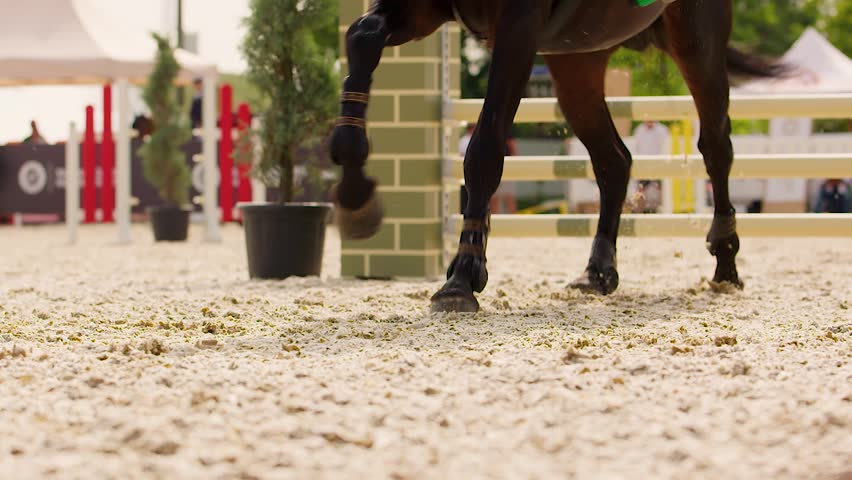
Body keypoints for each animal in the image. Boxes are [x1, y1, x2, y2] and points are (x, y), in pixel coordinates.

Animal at [329, 0, 787, 313]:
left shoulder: (518, 26)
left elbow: (485, 147)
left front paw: (462, 278)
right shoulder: (420, 7)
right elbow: (363, 35)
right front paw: (356, 197)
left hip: (695, 38)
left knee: (716, 147)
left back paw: (725, 265)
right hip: (577, 60)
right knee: (613, 160)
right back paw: (597, 271)